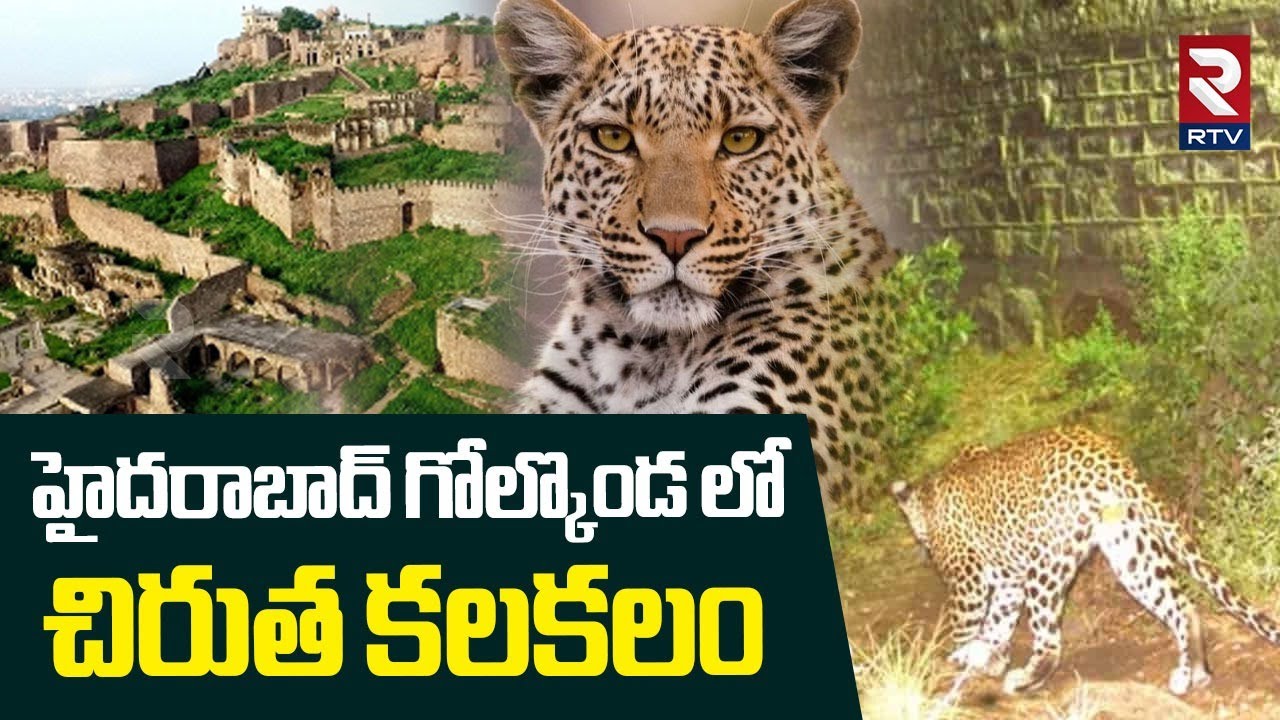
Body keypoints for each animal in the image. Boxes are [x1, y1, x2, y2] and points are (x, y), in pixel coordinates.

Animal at [891, 426, 1280, 696]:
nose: (920, 546)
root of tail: (1104, 455)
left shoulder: (968, 579)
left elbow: (966, 625)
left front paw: (961, 661)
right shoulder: (1007, 582)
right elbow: (997, 623)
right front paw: (989, 658)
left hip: (1046, 563)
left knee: (1050, 642)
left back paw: (1024, 679)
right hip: (1128, 546)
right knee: (1182, 606)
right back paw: (1191, 674)